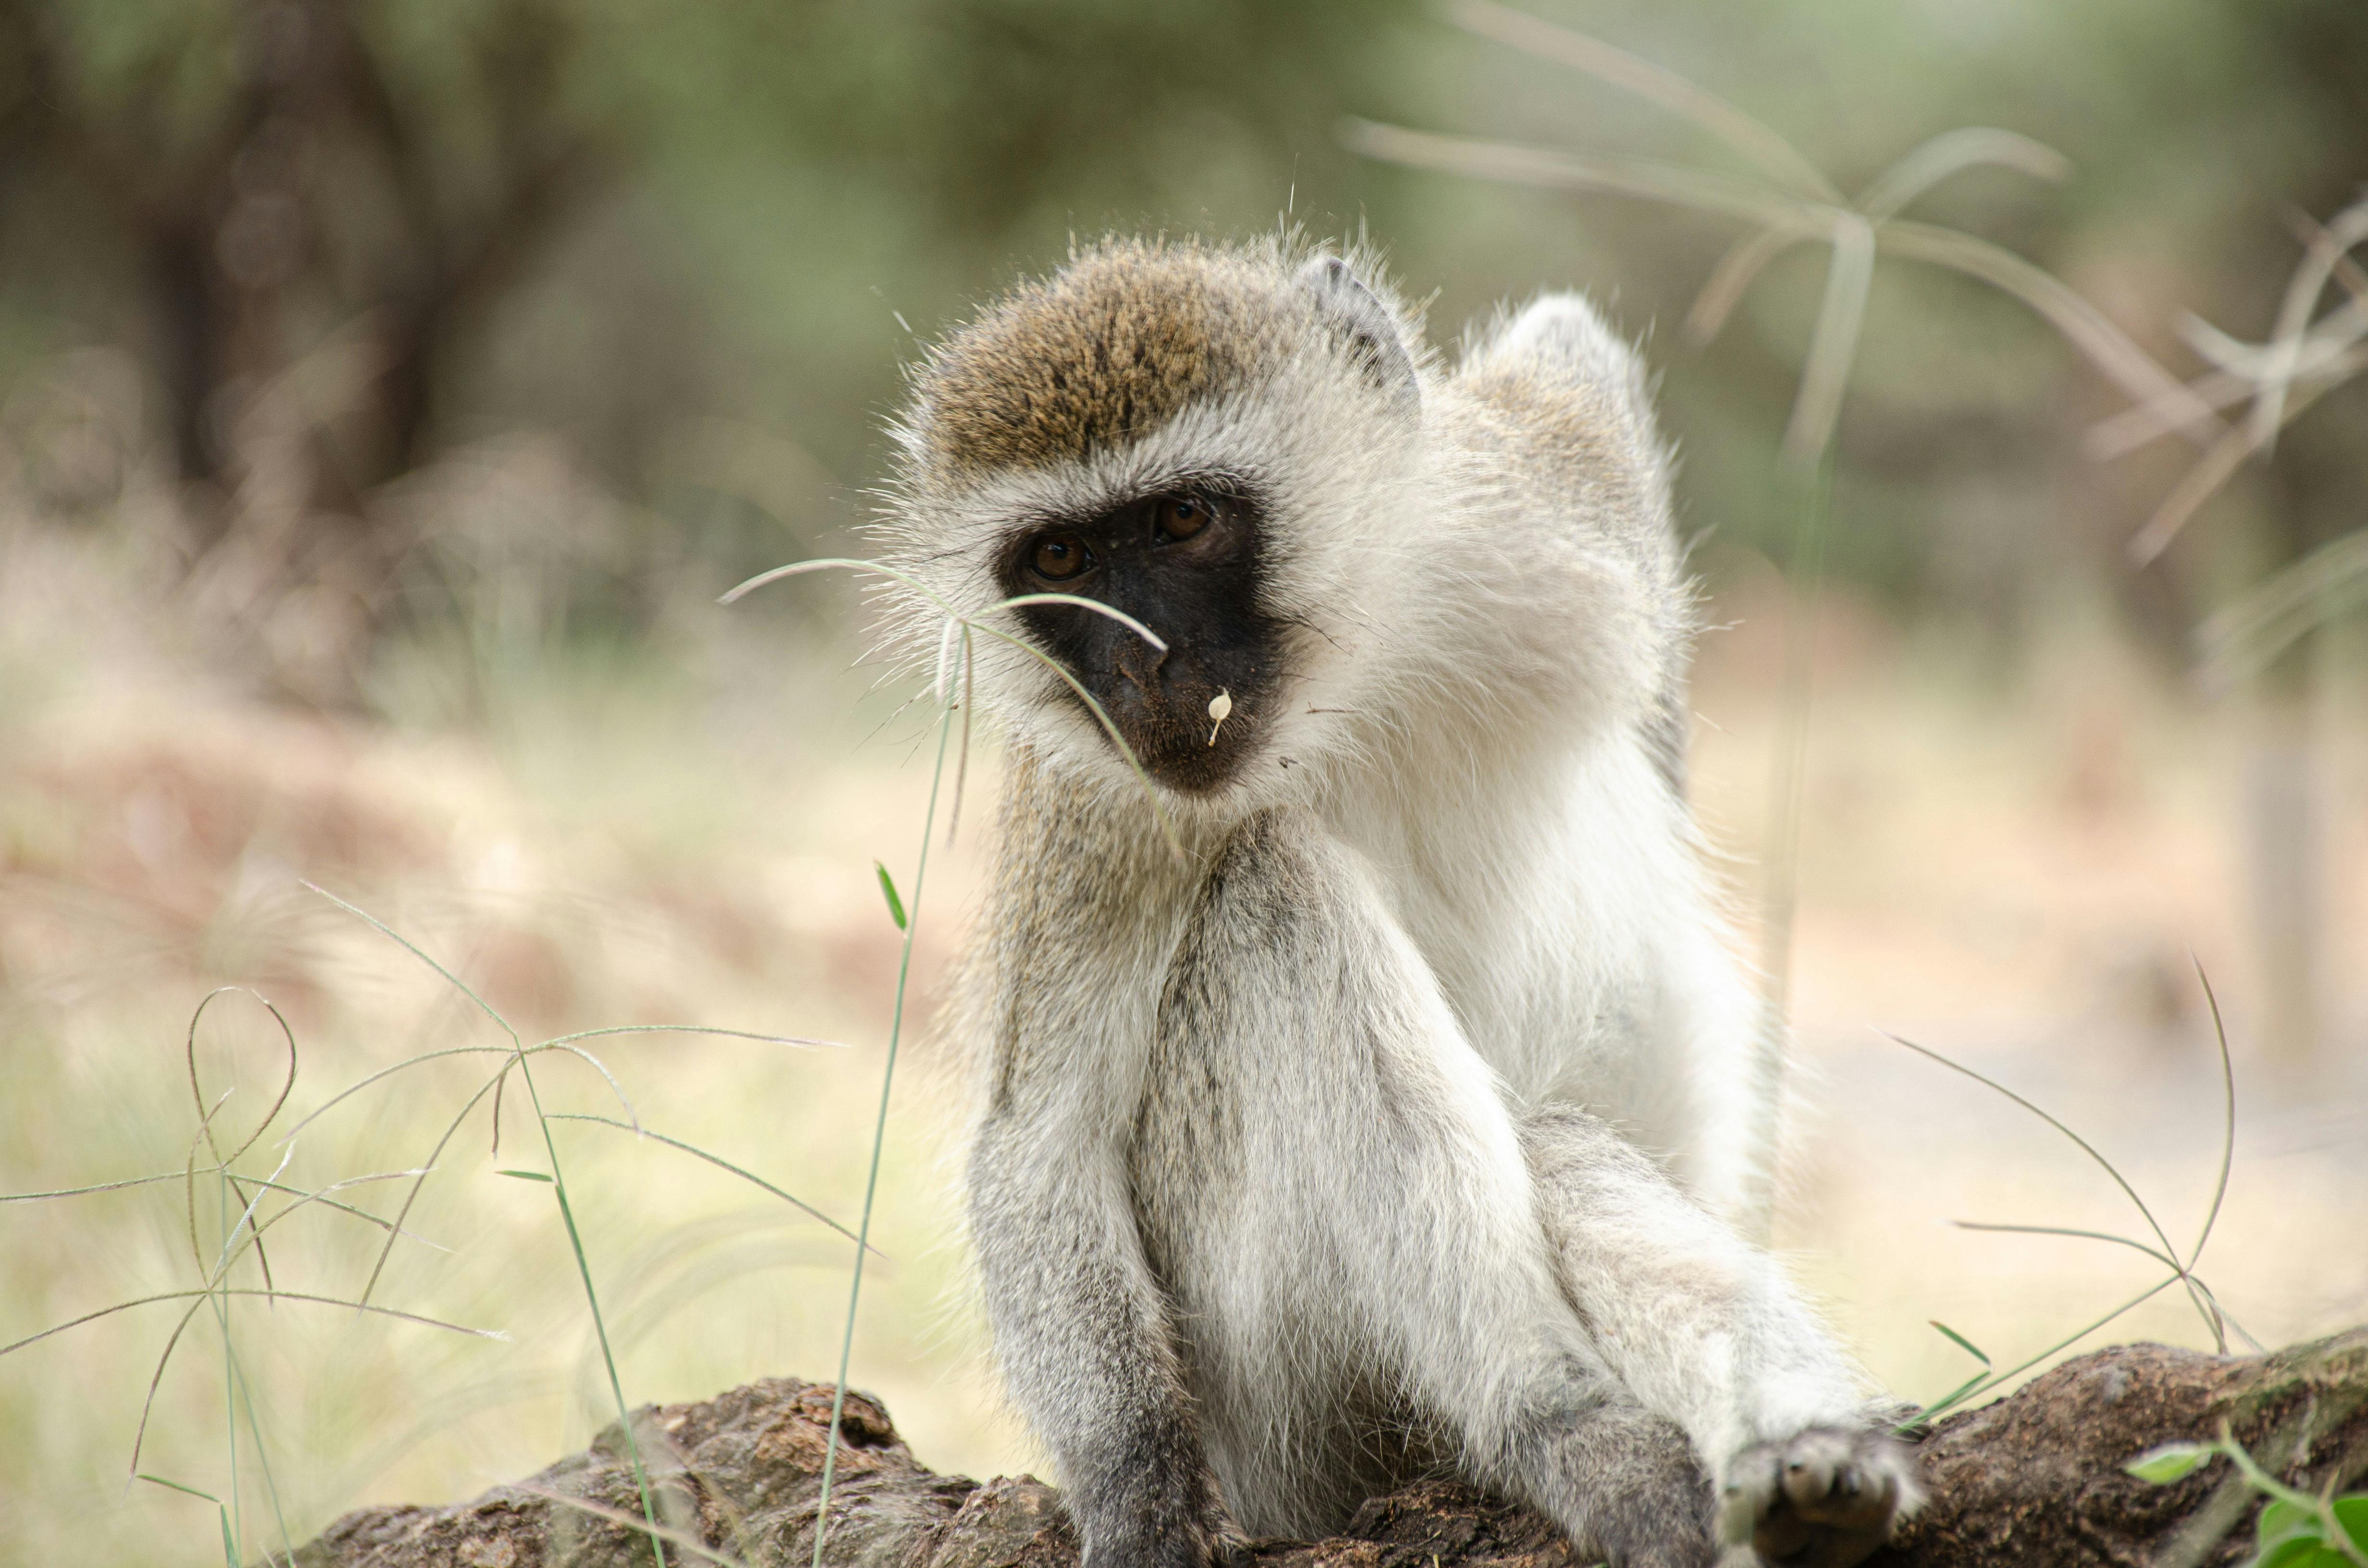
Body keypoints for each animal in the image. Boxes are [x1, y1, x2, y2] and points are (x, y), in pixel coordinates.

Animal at [874, 237, 1921, 1568]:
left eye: (1181, 519)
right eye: (1060, 562)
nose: (1141, 667)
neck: (1349, 673)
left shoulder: (1544, 500)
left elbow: (1569, 356)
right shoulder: (1099, 799)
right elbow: (1038, 1143)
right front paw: (1137, 1488)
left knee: (1567, 1145)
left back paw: (1804, 1465)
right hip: (1280, 1408)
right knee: (1285, 900)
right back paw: (1557, 1426)